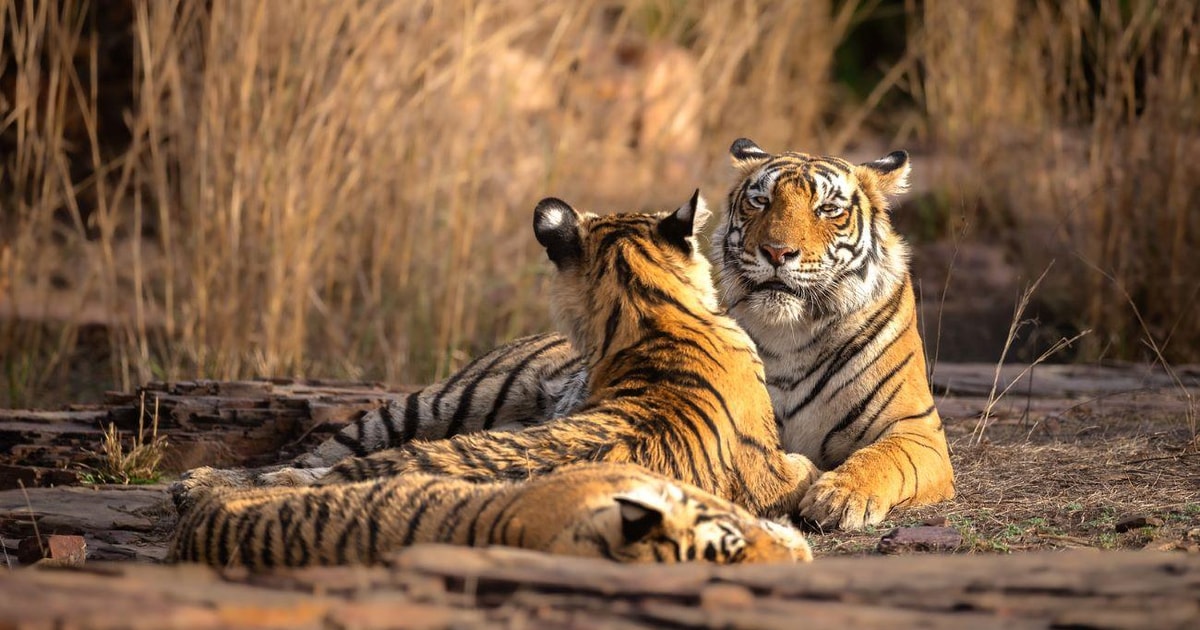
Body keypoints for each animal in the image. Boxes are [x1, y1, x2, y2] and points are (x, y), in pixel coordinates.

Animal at [198, 140, 954, 531]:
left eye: (828, 210)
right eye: (760, 201)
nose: (777, 253)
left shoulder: (917, 434)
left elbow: (878, 461)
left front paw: (840, 496)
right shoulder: (773, 460)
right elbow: (798, 466)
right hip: (428, 407)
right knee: (317, 454)